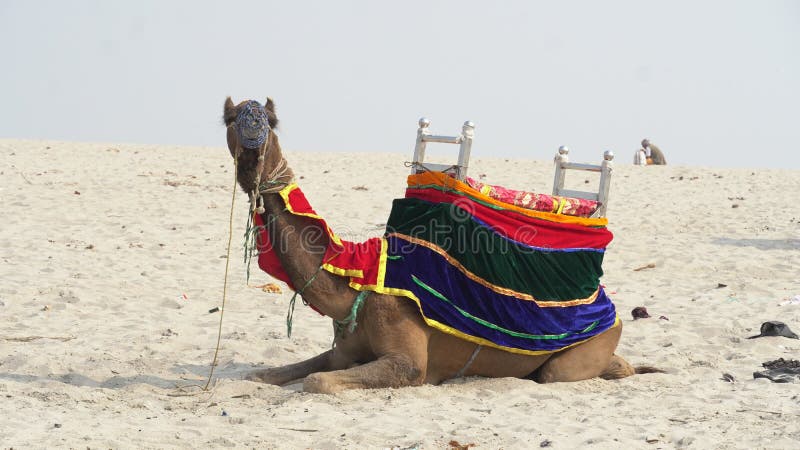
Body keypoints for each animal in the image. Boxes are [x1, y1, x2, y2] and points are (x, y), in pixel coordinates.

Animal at [223, 97, 657, 394]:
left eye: (268, 119)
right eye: (230, 118)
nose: (253, 133)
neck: (359, 280)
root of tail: (606, 300)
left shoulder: (408, 362)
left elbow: (319, 381)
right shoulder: (342, 350)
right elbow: (265, 373)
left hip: (587, 345)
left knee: (563, 372)